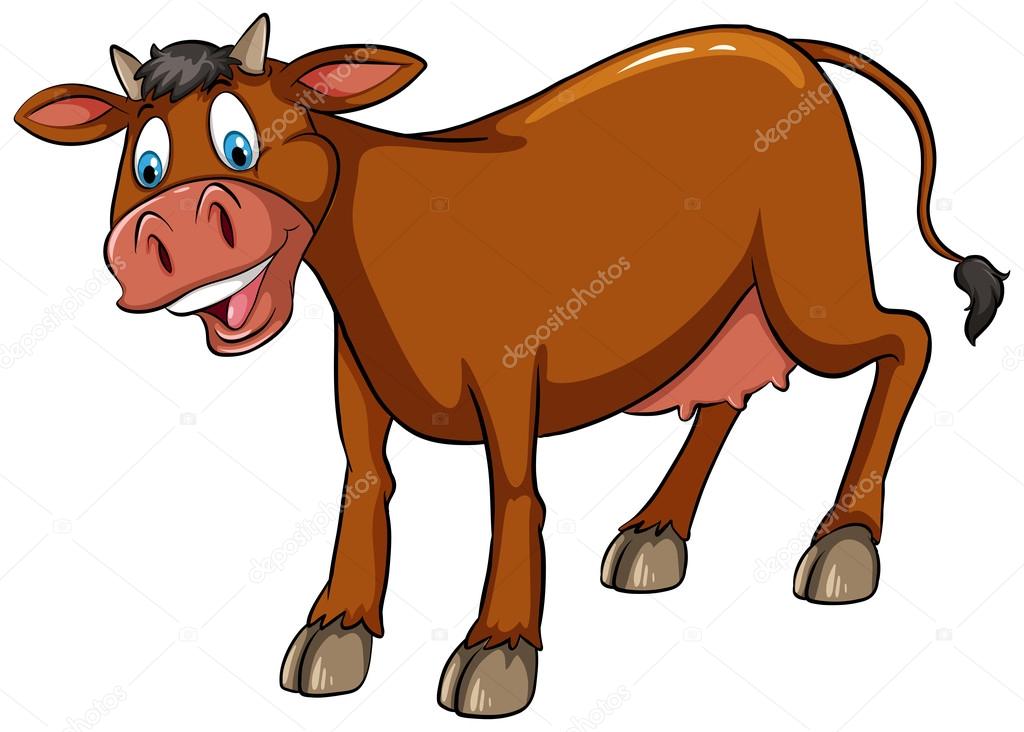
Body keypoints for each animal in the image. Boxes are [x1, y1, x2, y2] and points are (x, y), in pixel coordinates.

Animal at [16, 14, 1007, 718]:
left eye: (240, 144)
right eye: (144, 162)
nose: (169, 229)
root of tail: (785, 41)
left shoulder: (507, 370)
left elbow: (514, 495)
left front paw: (499, 650)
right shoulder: (356, 378)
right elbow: (365, 487)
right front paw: (336, 630)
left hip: (812, 281)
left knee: (910, 337)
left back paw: (845, 541)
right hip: (736, 299)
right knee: (730, 393)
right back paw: (656, 534)